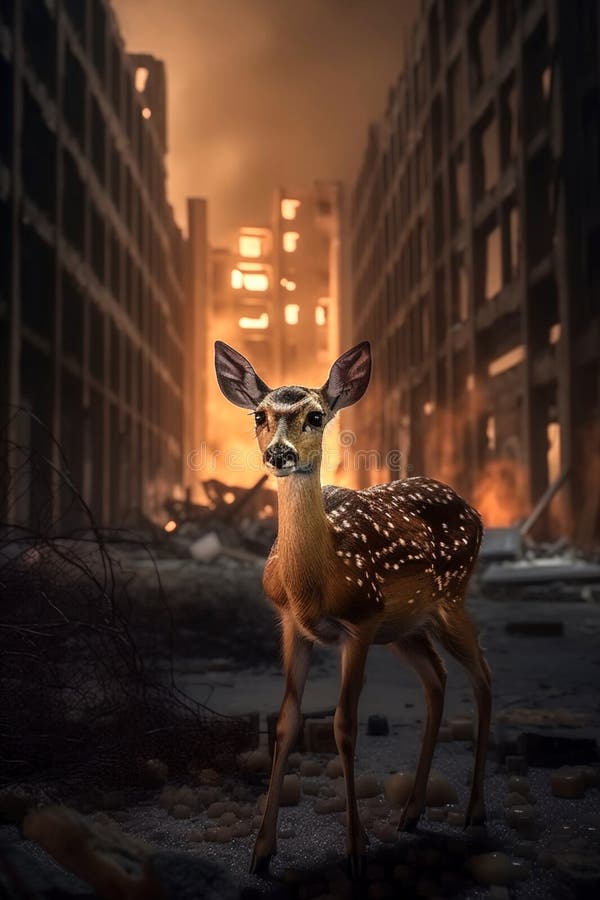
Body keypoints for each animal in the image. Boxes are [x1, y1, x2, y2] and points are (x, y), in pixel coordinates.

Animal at [214, 340, 491, 878]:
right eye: (259, 414)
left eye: (316, 416)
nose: (279, 454)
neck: (313, 585)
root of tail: (473, 509)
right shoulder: (291, 625)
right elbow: (286, 722)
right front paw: (261, 851)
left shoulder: (360, 623)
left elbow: (344, 724)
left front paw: (357, 848)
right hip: (406, 626)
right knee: (438, 679)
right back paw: (411, 812)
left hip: (450, 599)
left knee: (483, 677)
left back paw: (474, 812)